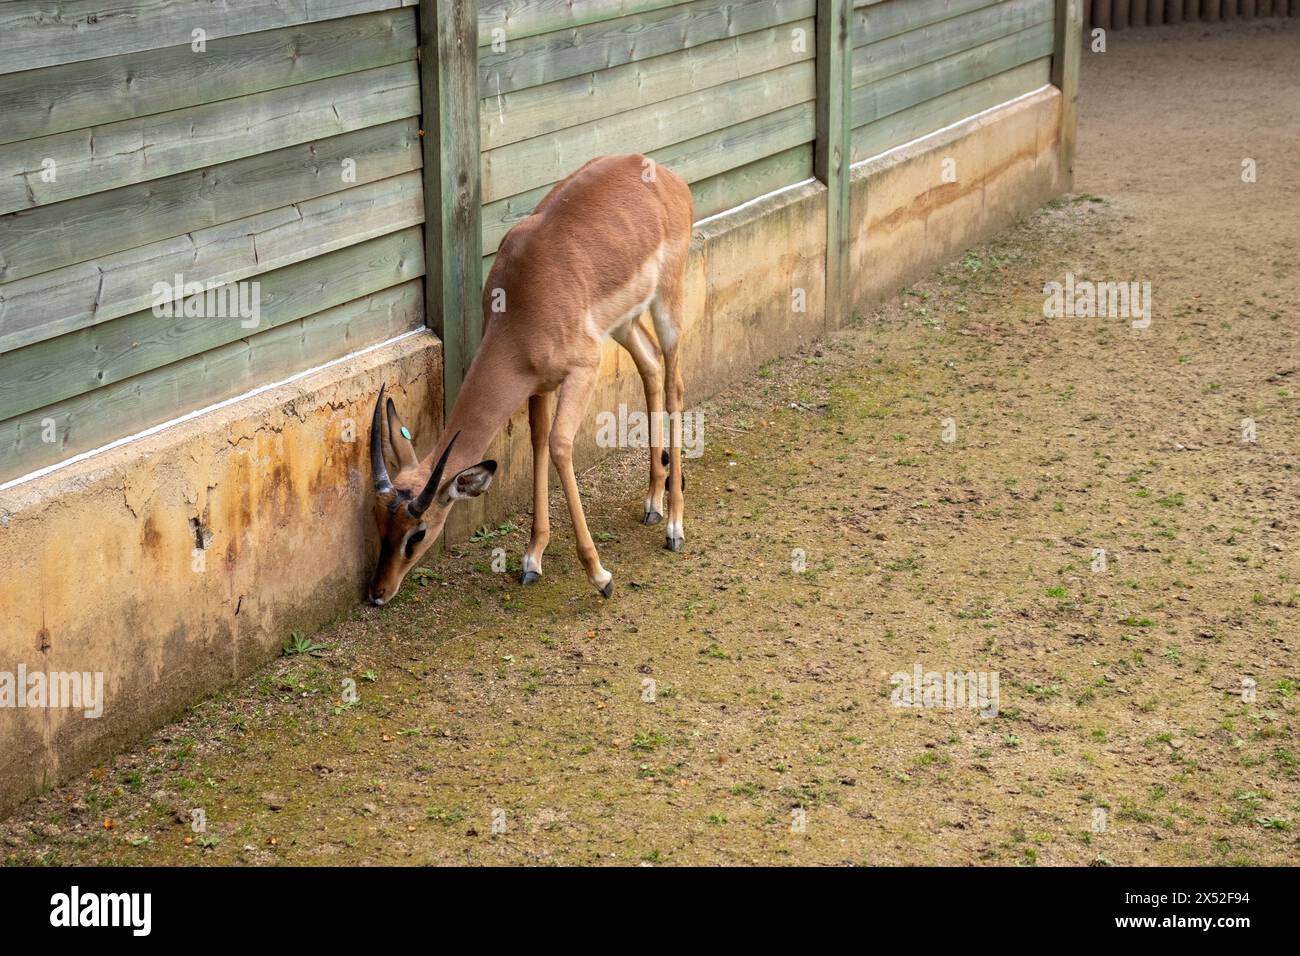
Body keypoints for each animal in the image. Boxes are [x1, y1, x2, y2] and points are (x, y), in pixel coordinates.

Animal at [366, 154, 692, 606]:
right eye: (379, 523)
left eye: (418, 533)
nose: (377, 593)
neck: (522, 305)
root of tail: (660, 171)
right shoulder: (537, 384)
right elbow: (537, 443)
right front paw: (533, 559)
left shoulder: (582, 370)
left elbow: (558, 446)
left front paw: (600, 575)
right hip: (624, 323)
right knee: (652, 367)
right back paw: (652, 504)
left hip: (668, 304)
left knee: (674, 385)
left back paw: (675, 527)